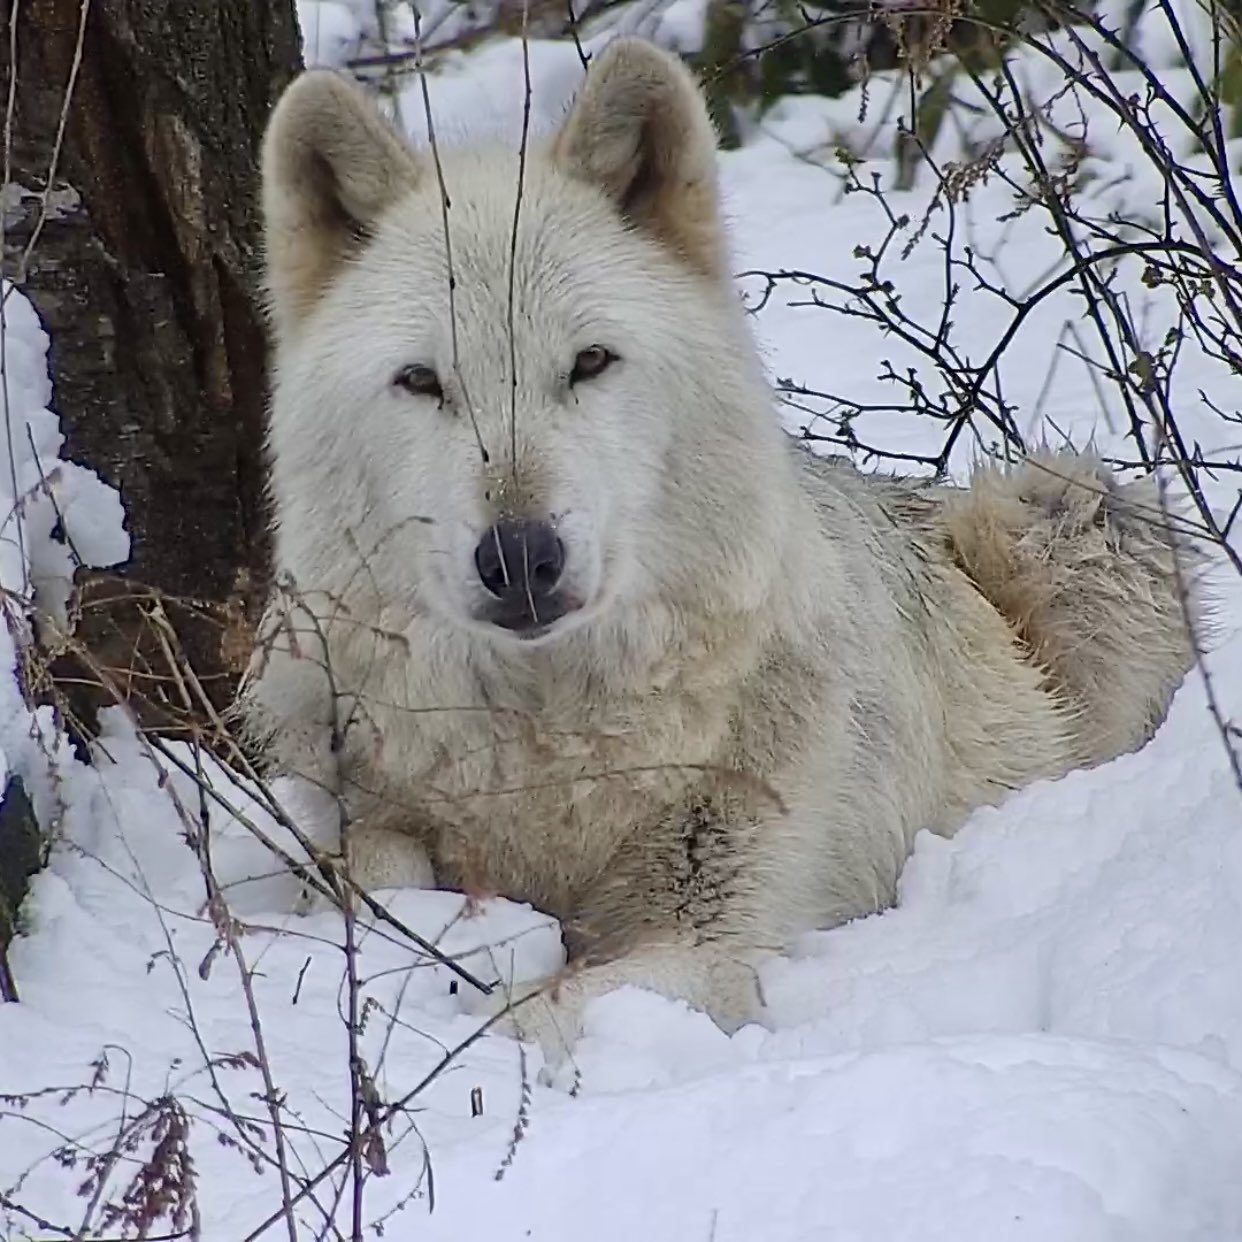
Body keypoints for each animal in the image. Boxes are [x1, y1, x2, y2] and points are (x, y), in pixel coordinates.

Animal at [244, 38, 1201, 1060]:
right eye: (422, 382)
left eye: (589, 363)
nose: (521, 558)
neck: (551, 744)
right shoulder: (374, 811)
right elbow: (375, 886)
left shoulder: (714, 946)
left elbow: (528, 1017)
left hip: (1058, 505)